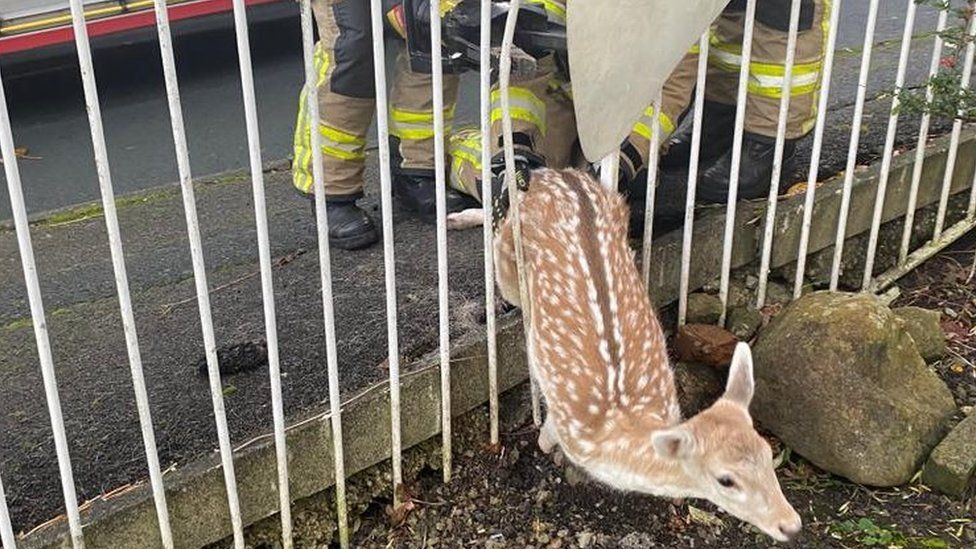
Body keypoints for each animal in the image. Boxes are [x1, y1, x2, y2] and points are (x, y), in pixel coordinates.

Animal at [483, 167, 802, 542]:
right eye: (726, 479)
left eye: (768, 453)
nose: (790, 524)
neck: (615, 428)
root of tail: (556, 175)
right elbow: (546, 440)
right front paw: (548, 450)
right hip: (509, 258)